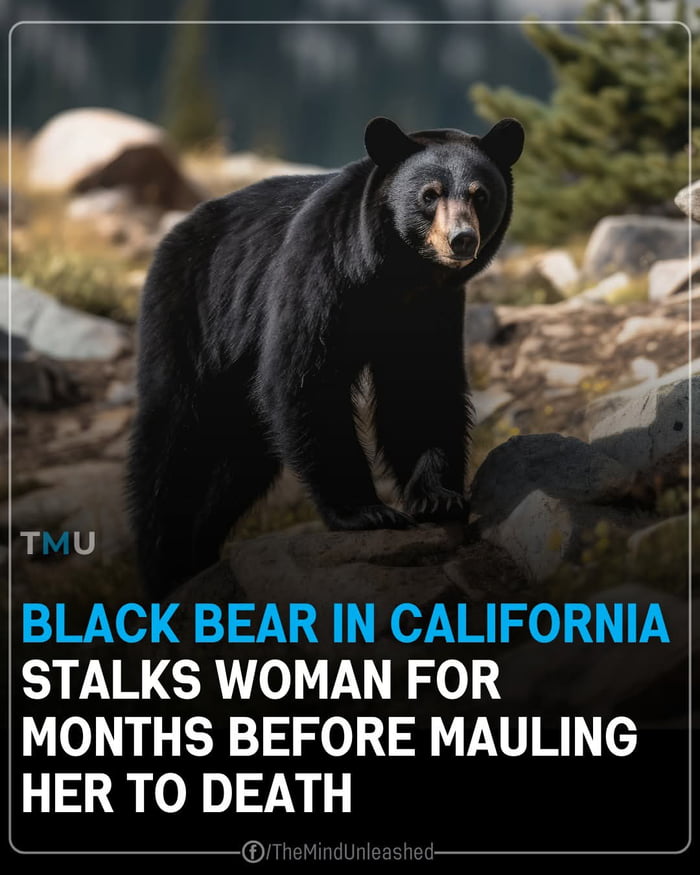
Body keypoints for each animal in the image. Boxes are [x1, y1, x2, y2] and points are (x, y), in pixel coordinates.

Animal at [127, 115, 524, 596]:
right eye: (429, 194)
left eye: (480, 194)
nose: (461, 239)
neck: (395, 276)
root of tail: (178, 231)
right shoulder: (319, 273)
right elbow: (306, 379)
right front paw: (368, 511)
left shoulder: (430, 310)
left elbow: (421, 390)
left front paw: (438, 497)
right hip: (194, 314)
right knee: (172, 442)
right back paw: (164, 567)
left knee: (239, 462)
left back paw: (198, 557)